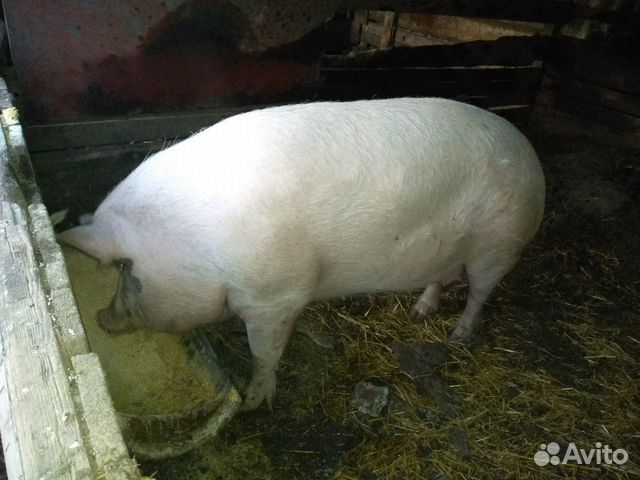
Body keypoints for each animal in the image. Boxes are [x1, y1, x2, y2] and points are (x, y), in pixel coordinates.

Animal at [59, 97, 545, 410]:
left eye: (126, 268)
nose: (101, 317)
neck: (192, 244)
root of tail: (529, 152)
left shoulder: (275, 296)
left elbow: (264, 353)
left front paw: (254, 403)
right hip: (445, 249)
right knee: (439, 278)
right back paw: (418, 313)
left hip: (499, 245)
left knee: (479, 293)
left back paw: (458, 337)